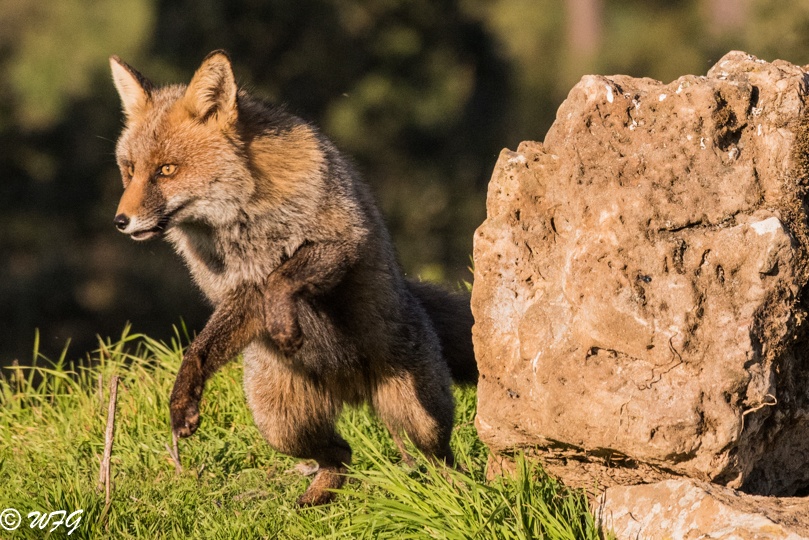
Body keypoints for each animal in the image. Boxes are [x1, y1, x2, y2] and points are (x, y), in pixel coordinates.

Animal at [109, 50, 477, 505]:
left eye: (166, 170)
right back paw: (318, 494)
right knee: (341, 454)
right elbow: (200, 349)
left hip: (420, 415)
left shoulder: (340, 243)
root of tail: (351, 390)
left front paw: (285, 324)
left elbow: (282, 279)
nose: (120, 221)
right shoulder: (241, 290)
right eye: (130, 170)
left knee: (439, 457)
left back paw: (458, 492)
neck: (246, 225)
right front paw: (184, 397)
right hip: (281, 424)